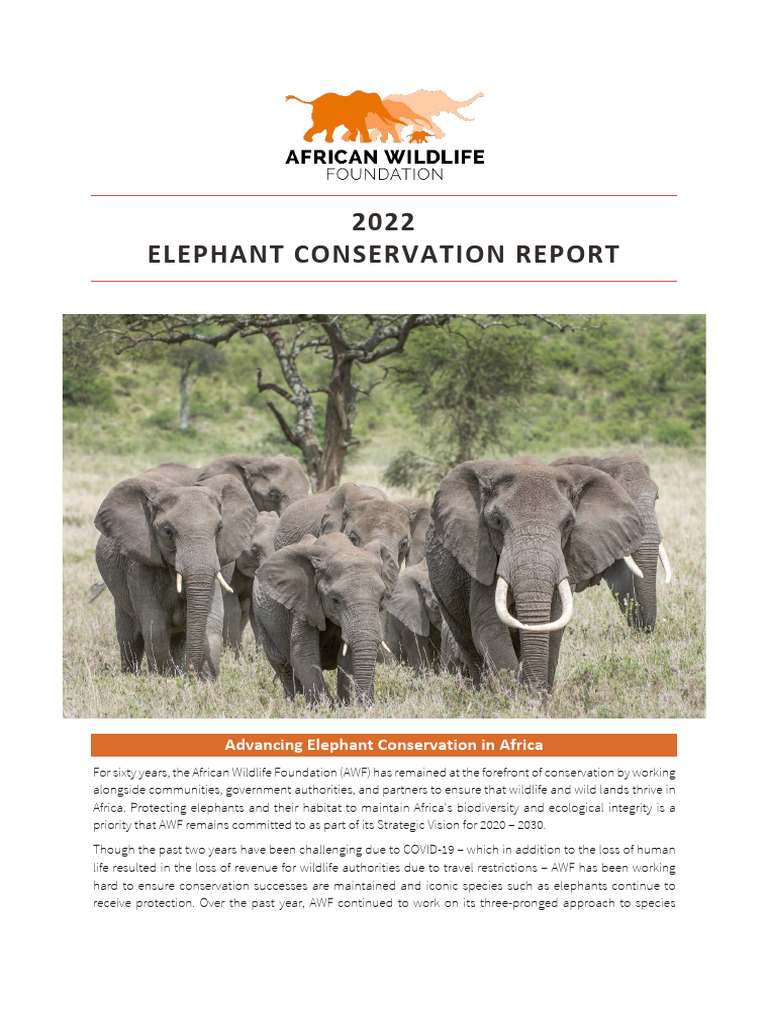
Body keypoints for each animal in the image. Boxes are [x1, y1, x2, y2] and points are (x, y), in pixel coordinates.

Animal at [95, 472, 257, 680]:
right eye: (168, 531)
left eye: (219, 529)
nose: (192, 673)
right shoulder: (140, 566)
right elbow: (155, 627)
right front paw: (167, 677)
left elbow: (211, 621)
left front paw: (204, 680)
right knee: (129, 639)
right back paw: (131, 675)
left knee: (178, 639)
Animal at [251, 533, 397, 703]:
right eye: (334, 600)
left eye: (382, 598)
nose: (368, 705)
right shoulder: (305, 601)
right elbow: (304, 656)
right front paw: (326, 706)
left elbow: (347, 659)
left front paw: (345, 706)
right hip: (262, 621)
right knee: (284, 668)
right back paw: (295, 703)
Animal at [425, 457, 645, 692]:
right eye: (498, 521)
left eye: (568, 523)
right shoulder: (482, 559)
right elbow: (489, 626)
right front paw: (515, 696)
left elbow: (554, 624)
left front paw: (537, 696)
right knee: (468, 644)